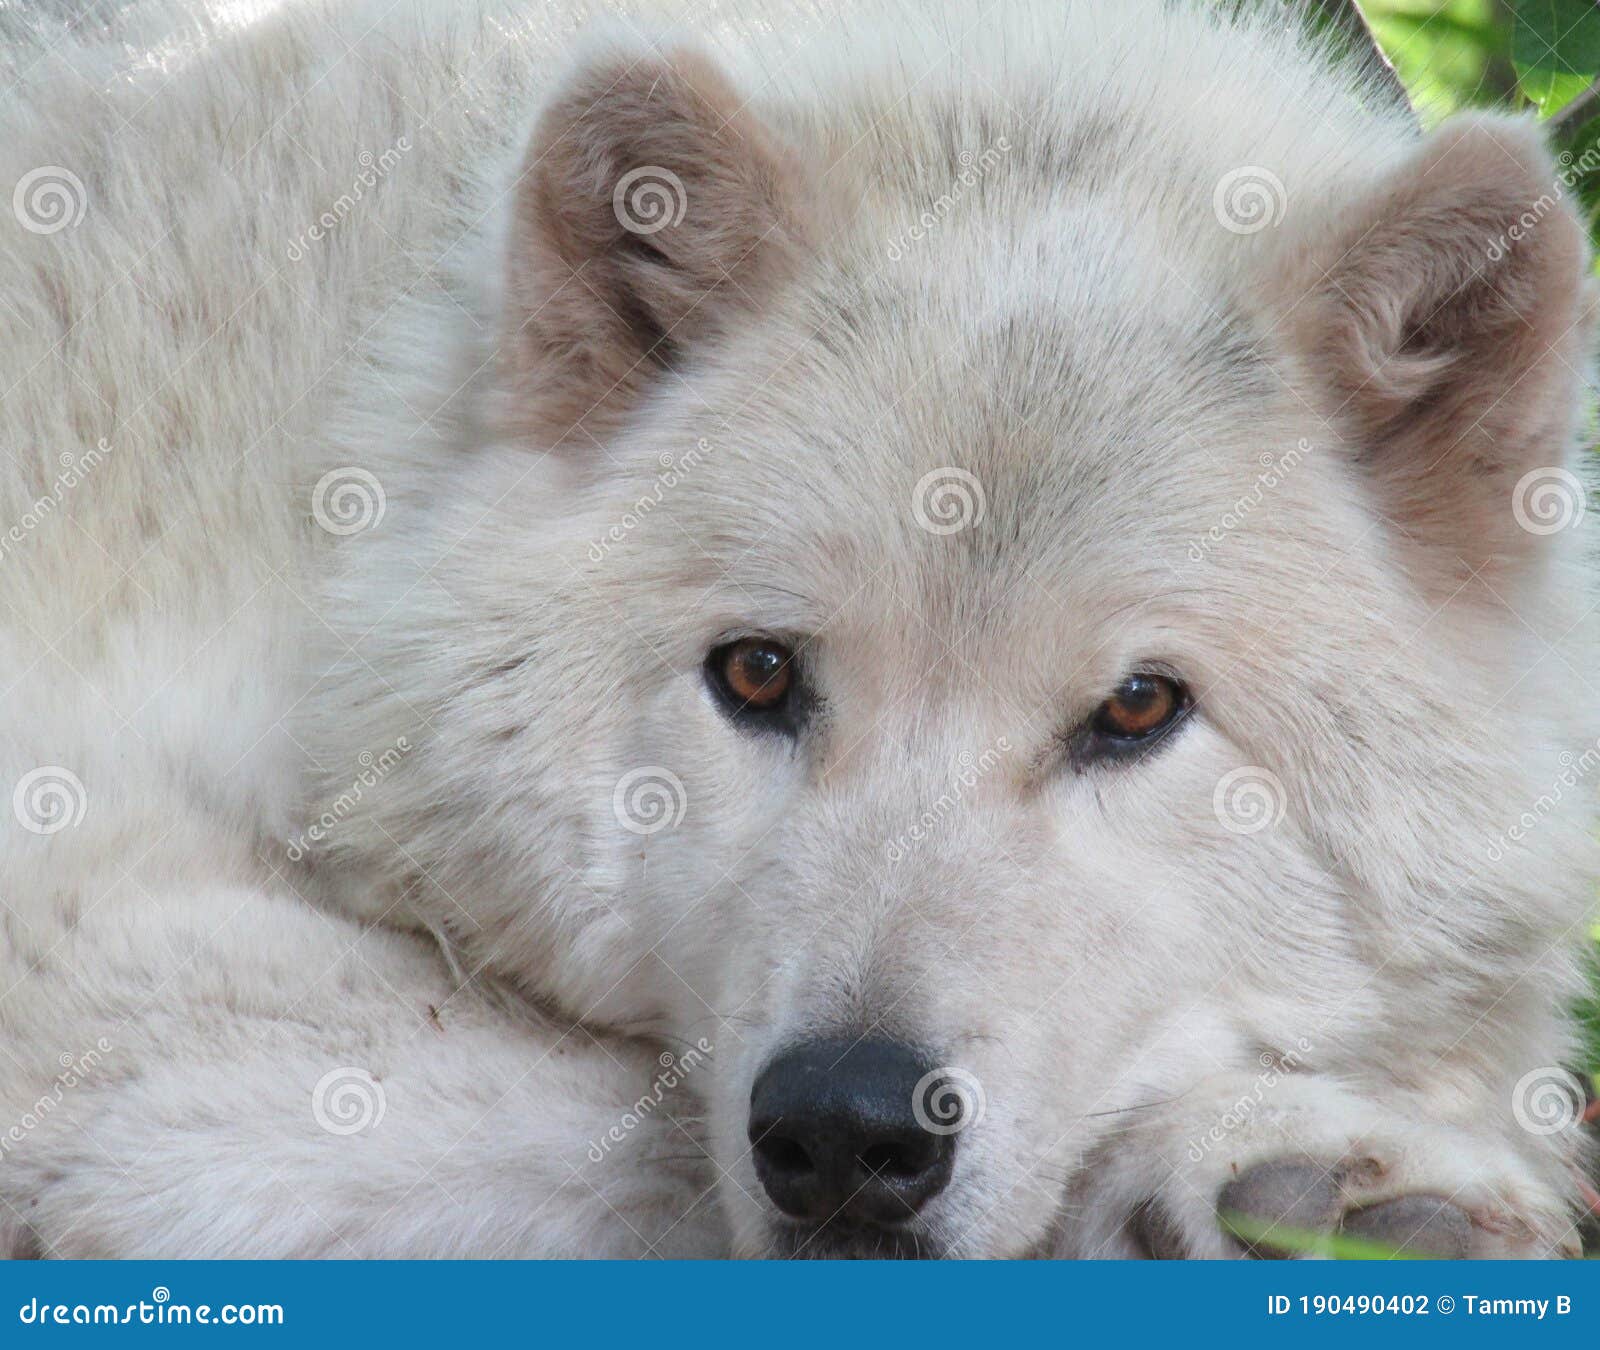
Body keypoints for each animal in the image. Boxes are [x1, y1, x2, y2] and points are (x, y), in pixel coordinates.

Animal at [0, 0, 1595, 1259]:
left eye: (1140, 708)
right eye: (757, 673)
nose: (845, 1129)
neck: (352, 483)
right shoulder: (78, 899)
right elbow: (625, 1122)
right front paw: (1253, 1168)